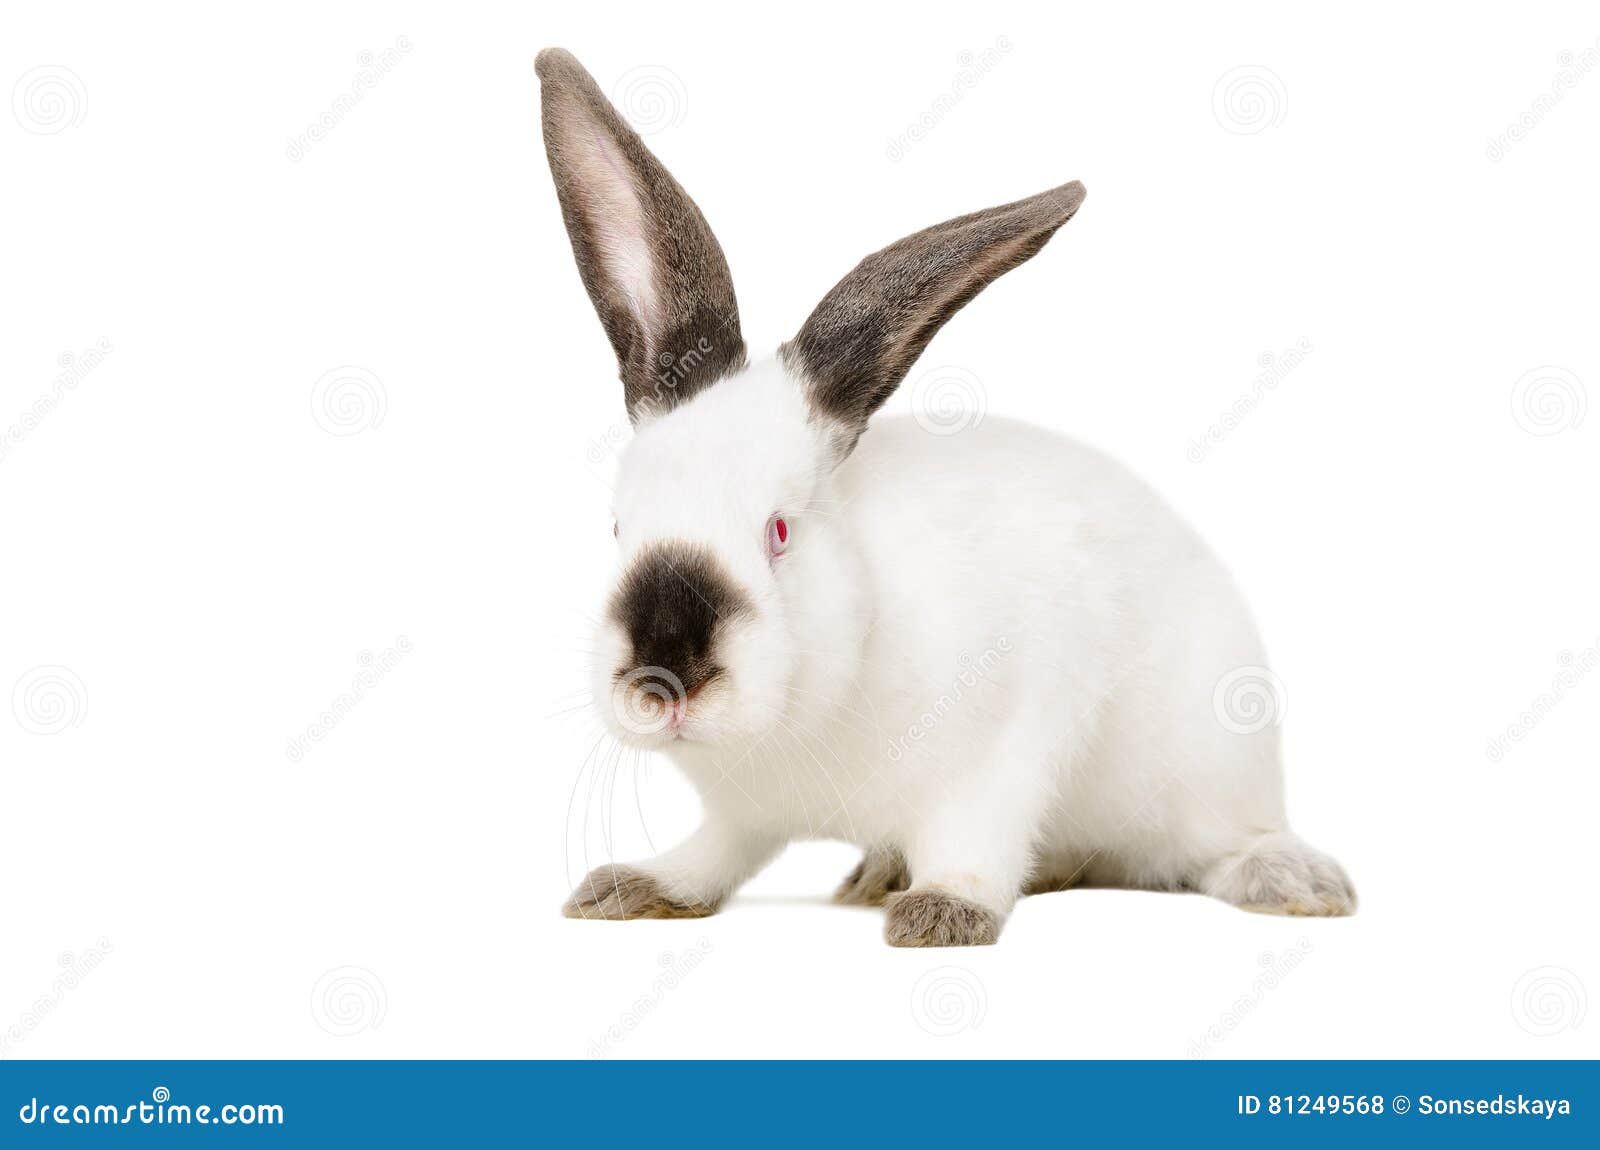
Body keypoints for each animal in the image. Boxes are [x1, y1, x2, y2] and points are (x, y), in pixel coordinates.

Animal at [537, 48, 1355, 946]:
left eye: (779, 530)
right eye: (619, 526)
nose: (663, 680)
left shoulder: (1002, 750)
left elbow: (978, 844)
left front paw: (941, 914)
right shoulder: (739, 817)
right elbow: (714, 855)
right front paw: (631, 888)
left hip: (1212, 763)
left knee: (1221, 841)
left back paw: (1292, 879)